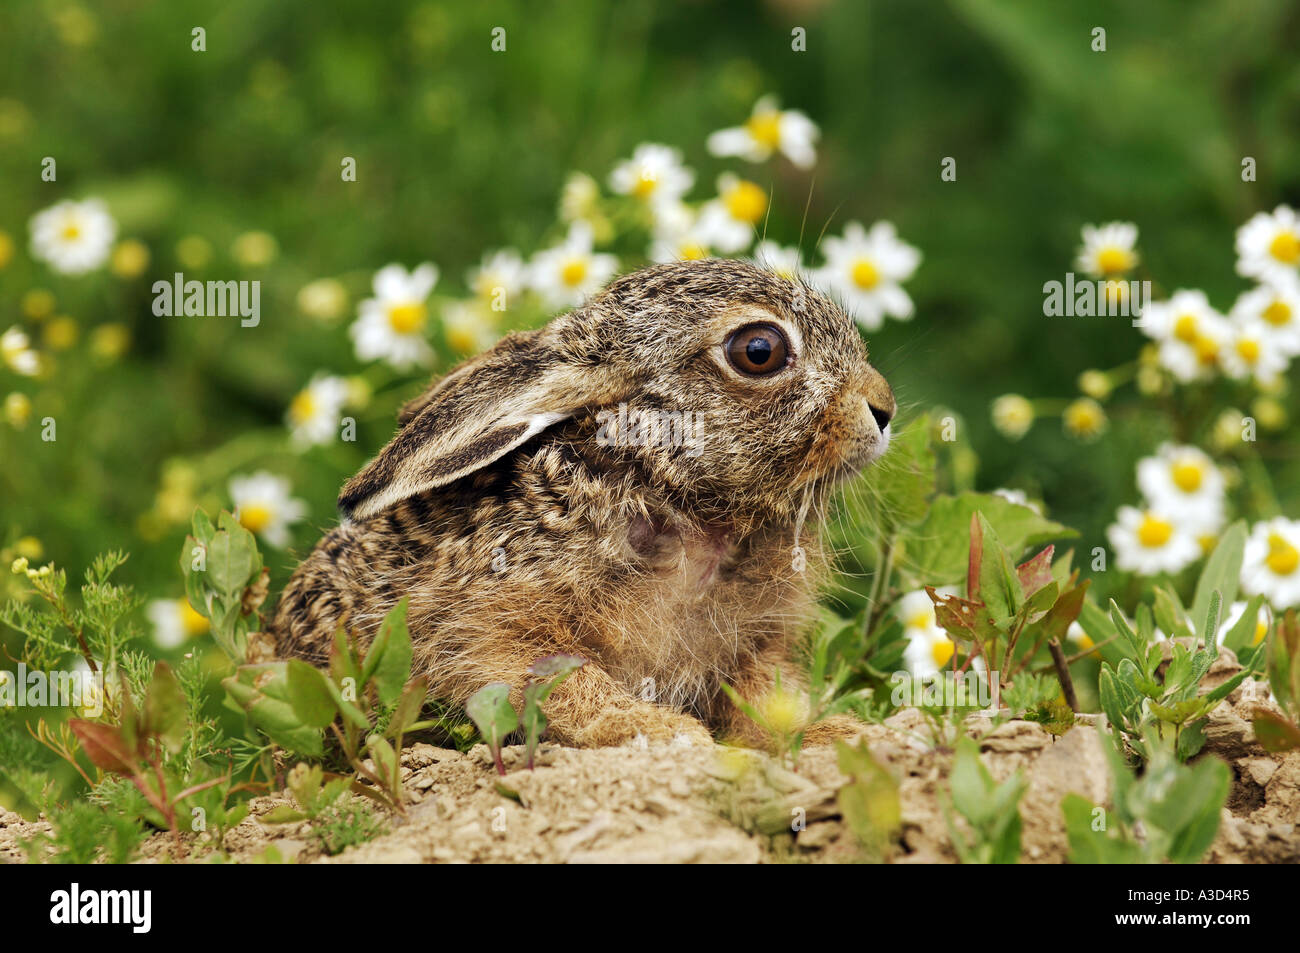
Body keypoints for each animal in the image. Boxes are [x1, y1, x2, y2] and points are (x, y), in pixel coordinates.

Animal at [267, 257, 896, 748]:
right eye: (759, 350)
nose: (883, 407)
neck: (671, 492)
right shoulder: (490, 627)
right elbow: (564, 681)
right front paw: (660, 730)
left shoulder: (755, 648)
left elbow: (770, 701)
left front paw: (840, 734)